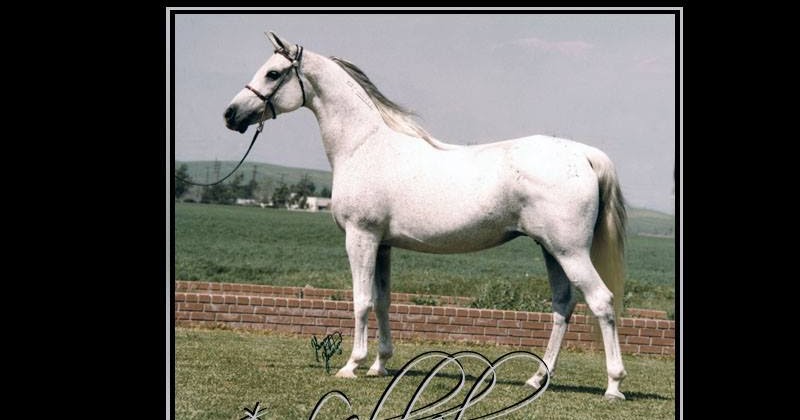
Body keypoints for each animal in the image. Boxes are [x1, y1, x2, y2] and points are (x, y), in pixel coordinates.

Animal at [224, 32, 629, 400]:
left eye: (273, 73)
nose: (230, 115)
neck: (364, 146)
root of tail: (583, 154)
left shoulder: (361, 237)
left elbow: (361, 301)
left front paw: (351, 365)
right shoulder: (383, 245)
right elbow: (383, 300)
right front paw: (379, 365)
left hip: (570, 252)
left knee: (602, 302)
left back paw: (613, 385)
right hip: (551, 250)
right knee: (563, 306)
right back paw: (536, 378)